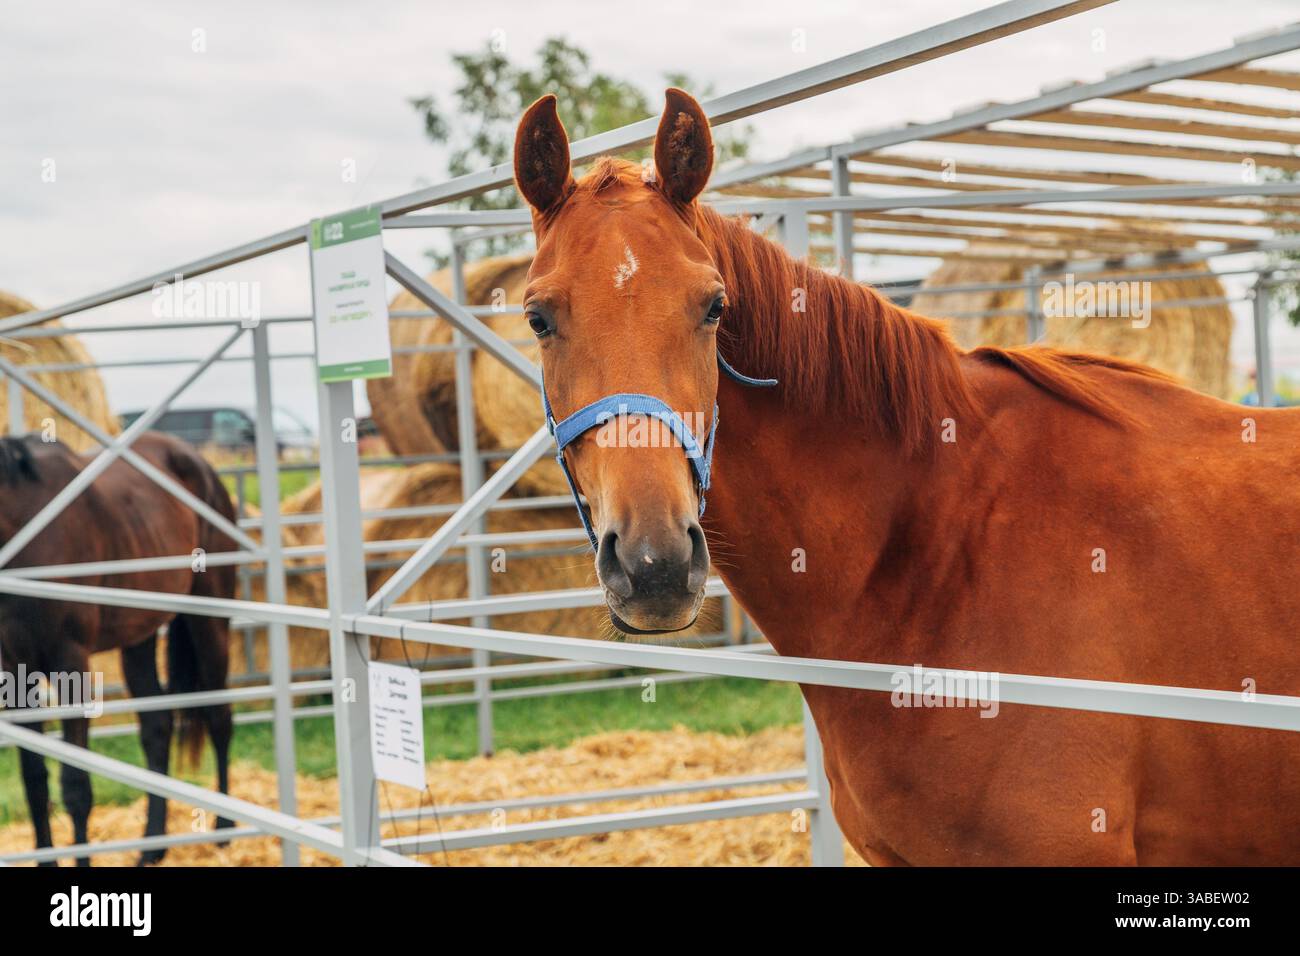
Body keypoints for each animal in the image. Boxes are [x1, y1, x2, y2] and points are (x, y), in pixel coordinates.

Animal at [0, 431, 237, 865]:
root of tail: (200, 463)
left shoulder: (70, 662)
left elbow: (75, 784)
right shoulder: (14, 669)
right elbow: (34, 781)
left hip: (210, 617)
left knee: (219, 717)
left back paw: (224, 831)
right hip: (139, 637)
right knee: (157, 728)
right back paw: (153, 845)